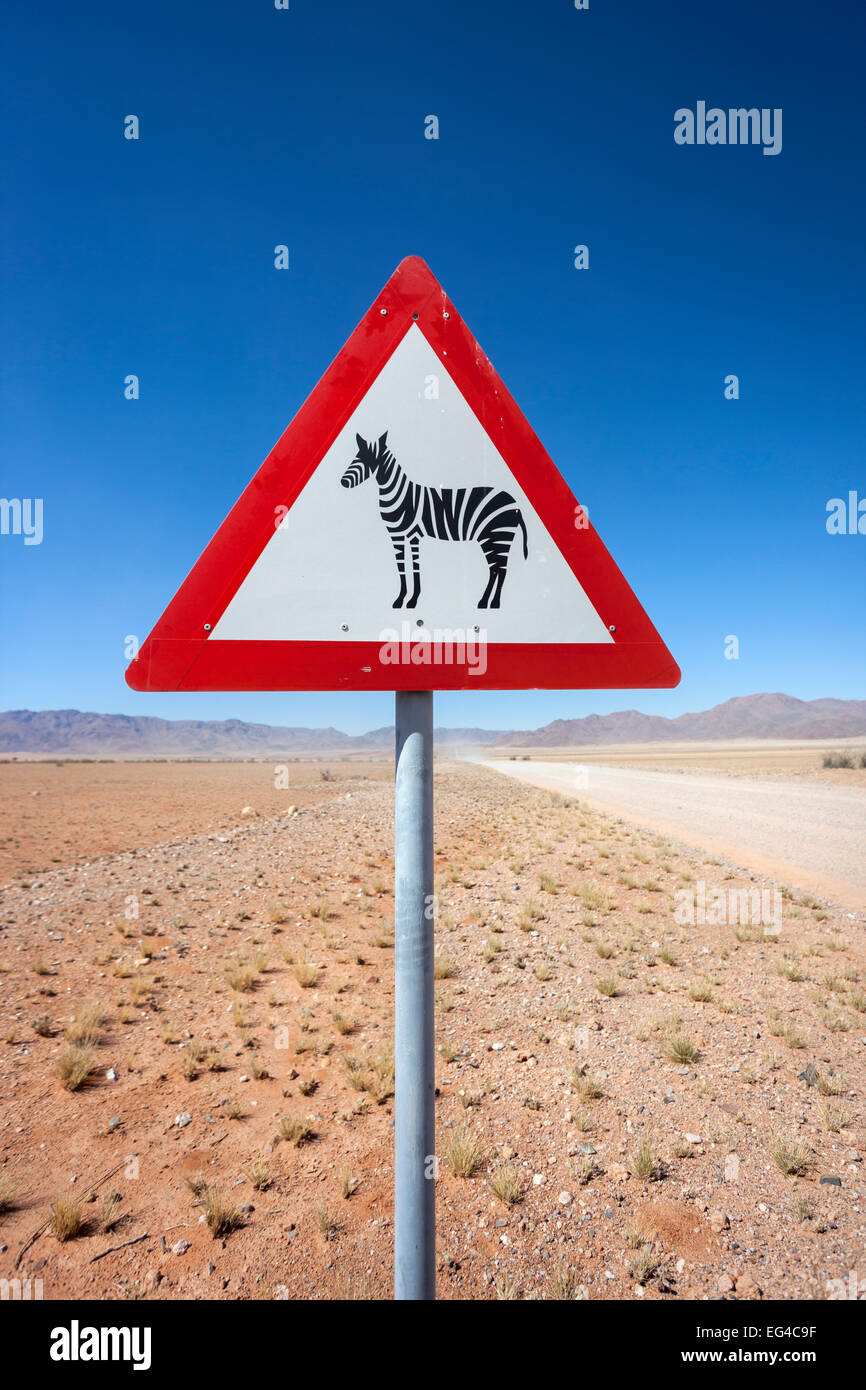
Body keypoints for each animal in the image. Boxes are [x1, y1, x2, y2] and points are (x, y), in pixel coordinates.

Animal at [340, 431, 528, 609]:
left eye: (364, 460)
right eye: (356, 457)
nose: (342, 483)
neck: (399, 495)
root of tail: (516, 504)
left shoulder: (413, 535)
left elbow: (414, 566)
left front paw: (412, 600)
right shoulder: (396, 535)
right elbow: (401, 566)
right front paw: (400, 599)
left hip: (498, 535)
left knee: (500, 569)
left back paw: (492, 603)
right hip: (492, 538)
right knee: (496, 569)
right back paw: (485, 602)